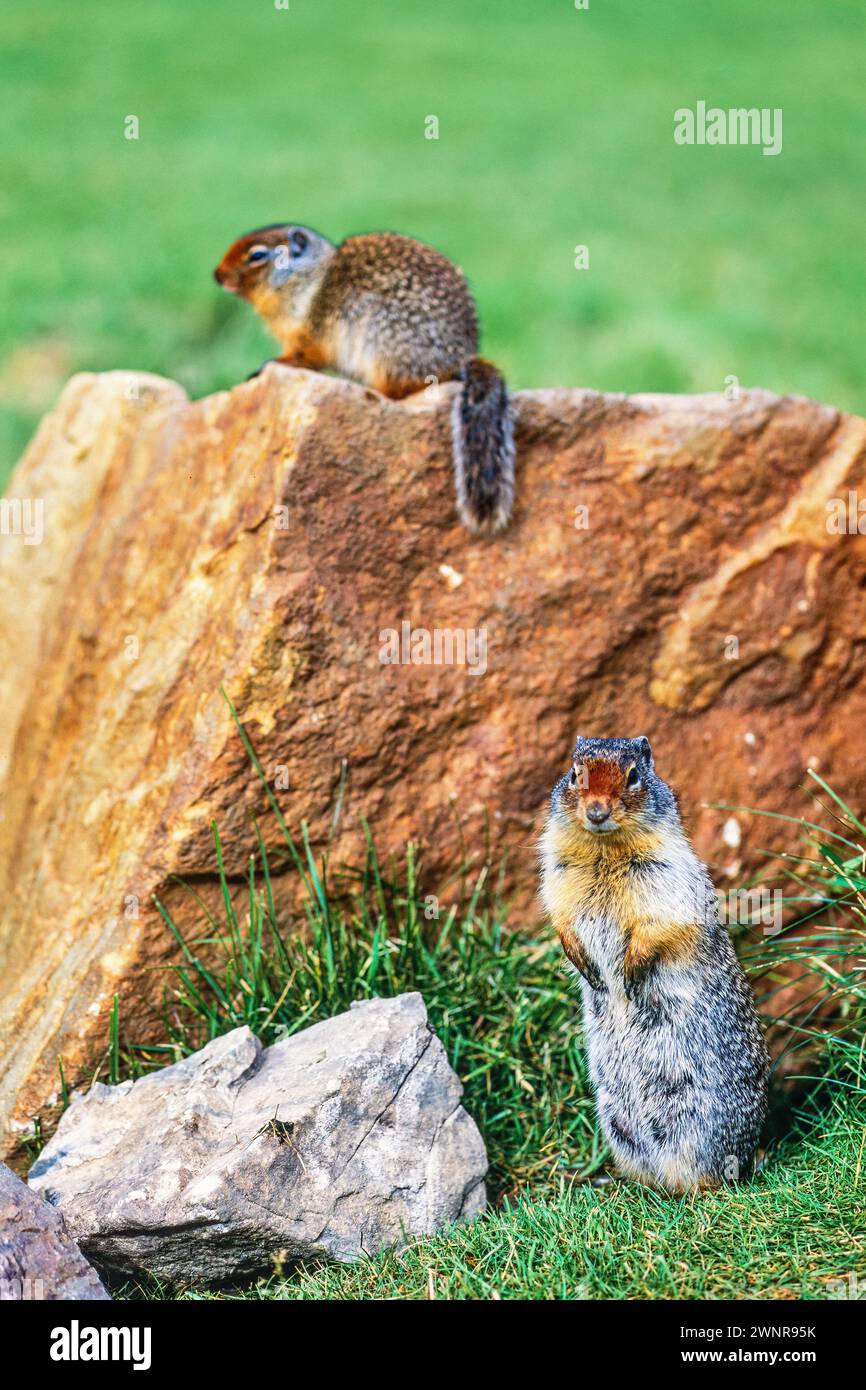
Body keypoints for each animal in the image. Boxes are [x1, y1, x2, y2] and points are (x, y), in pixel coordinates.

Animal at [213, 224, 515, 534]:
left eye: (256, 255)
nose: (217, 275)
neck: (308, 278)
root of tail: (461, 360)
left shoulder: (308, 334)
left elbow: (303, 356)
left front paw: (271, 363)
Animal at [539, 735, 768, 1194]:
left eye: (633, 776)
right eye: (574, 774)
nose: (596, 811)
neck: (604, 851)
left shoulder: (667, 881)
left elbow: (657, 929)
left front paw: (627, 978)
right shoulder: (557, 874)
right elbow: (562, 918)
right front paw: (590, 970)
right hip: (617, 1122)